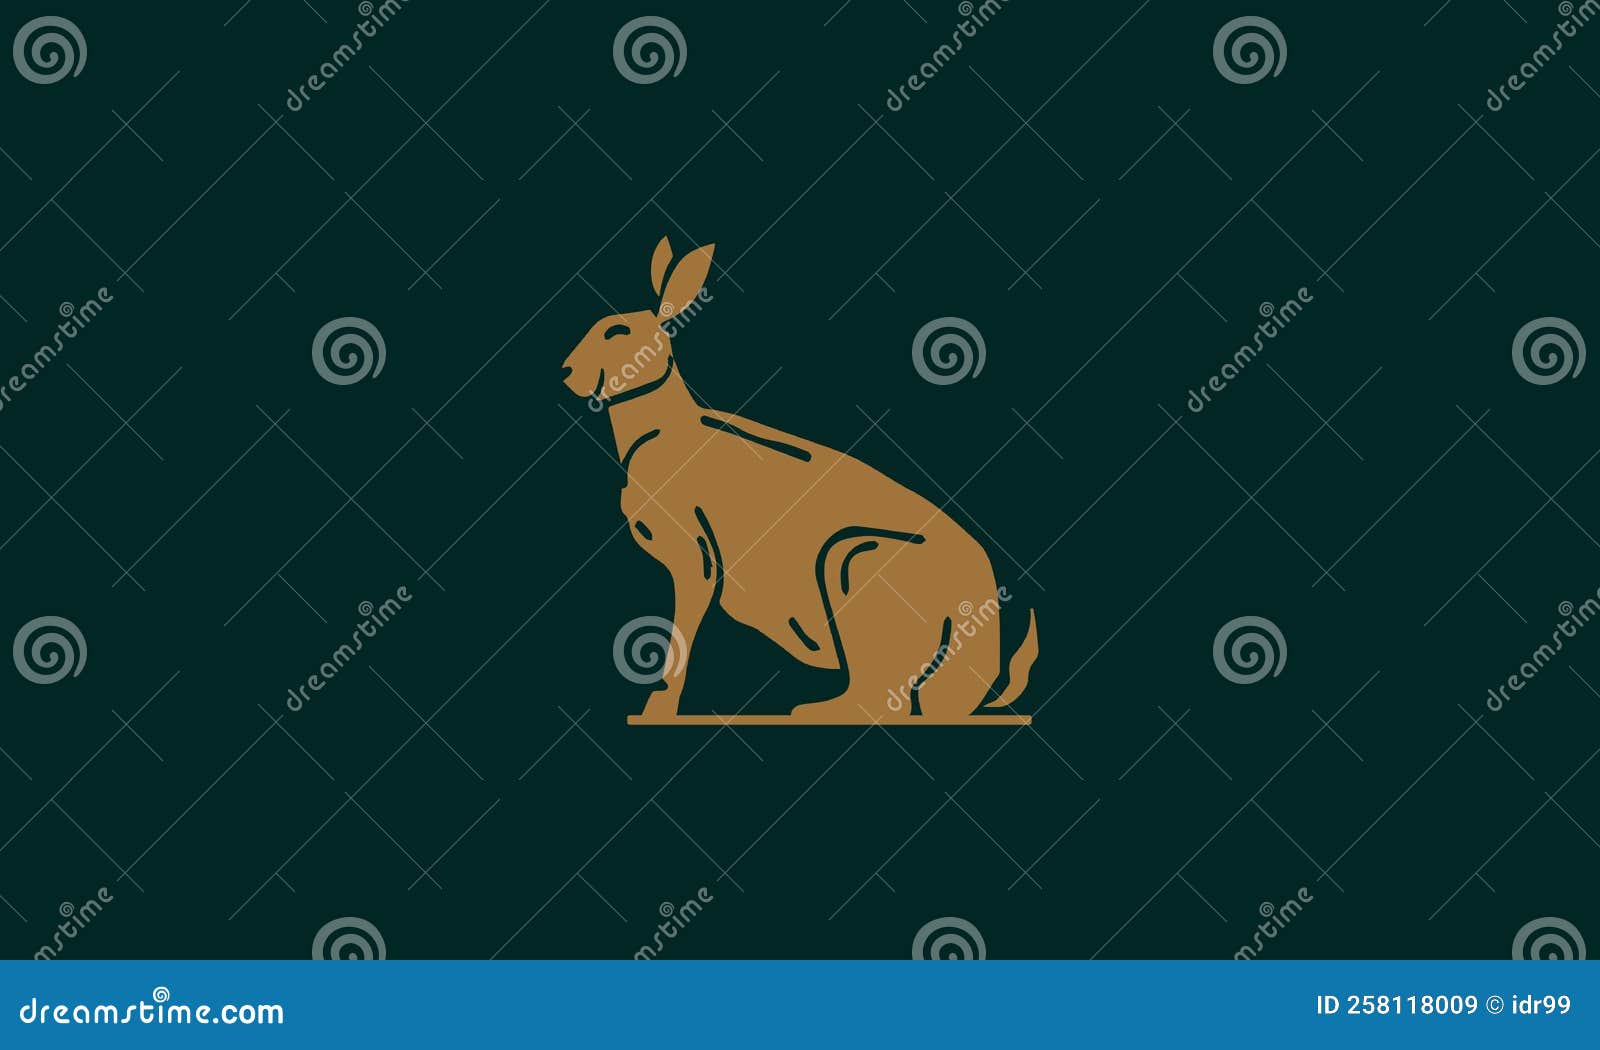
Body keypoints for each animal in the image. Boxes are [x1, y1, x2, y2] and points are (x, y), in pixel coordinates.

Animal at [561, 237, 1038, 723]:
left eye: (617, 333)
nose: (565, 372)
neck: (664, 428)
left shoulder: (695, 560)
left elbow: (680, 637)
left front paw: (655, 710)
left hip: (854, 565)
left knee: (883, 697)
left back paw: (810, 710)